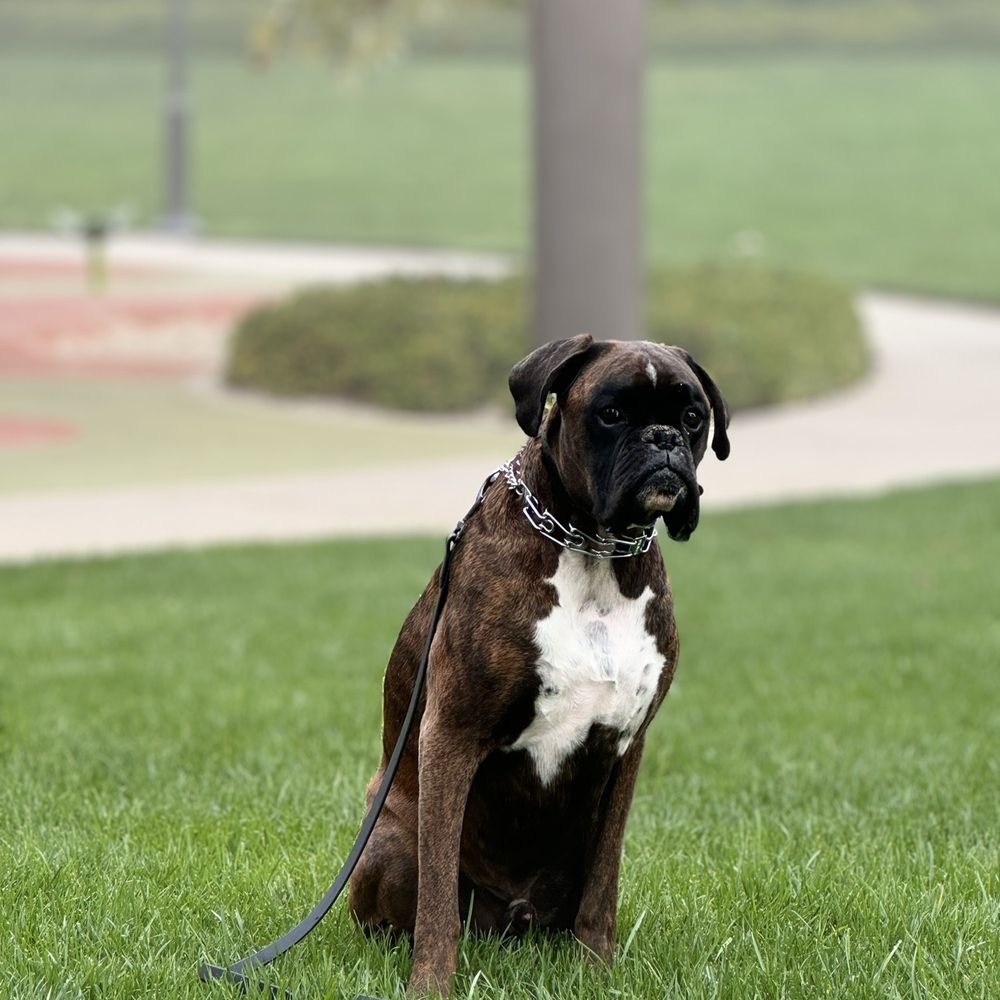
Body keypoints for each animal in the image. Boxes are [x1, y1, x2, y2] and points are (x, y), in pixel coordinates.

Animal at [349, 335, 730, 996]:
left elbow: (603, 887)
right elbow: (437, 901)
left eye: (692, 417)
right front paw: (431, 984)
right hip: (390, 837)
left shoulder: (625, 749)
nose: (663, 439)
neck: (595, 549)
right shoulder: (451, 733)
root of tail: (514, 916)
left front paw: (596, 970)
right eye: (611, 413)